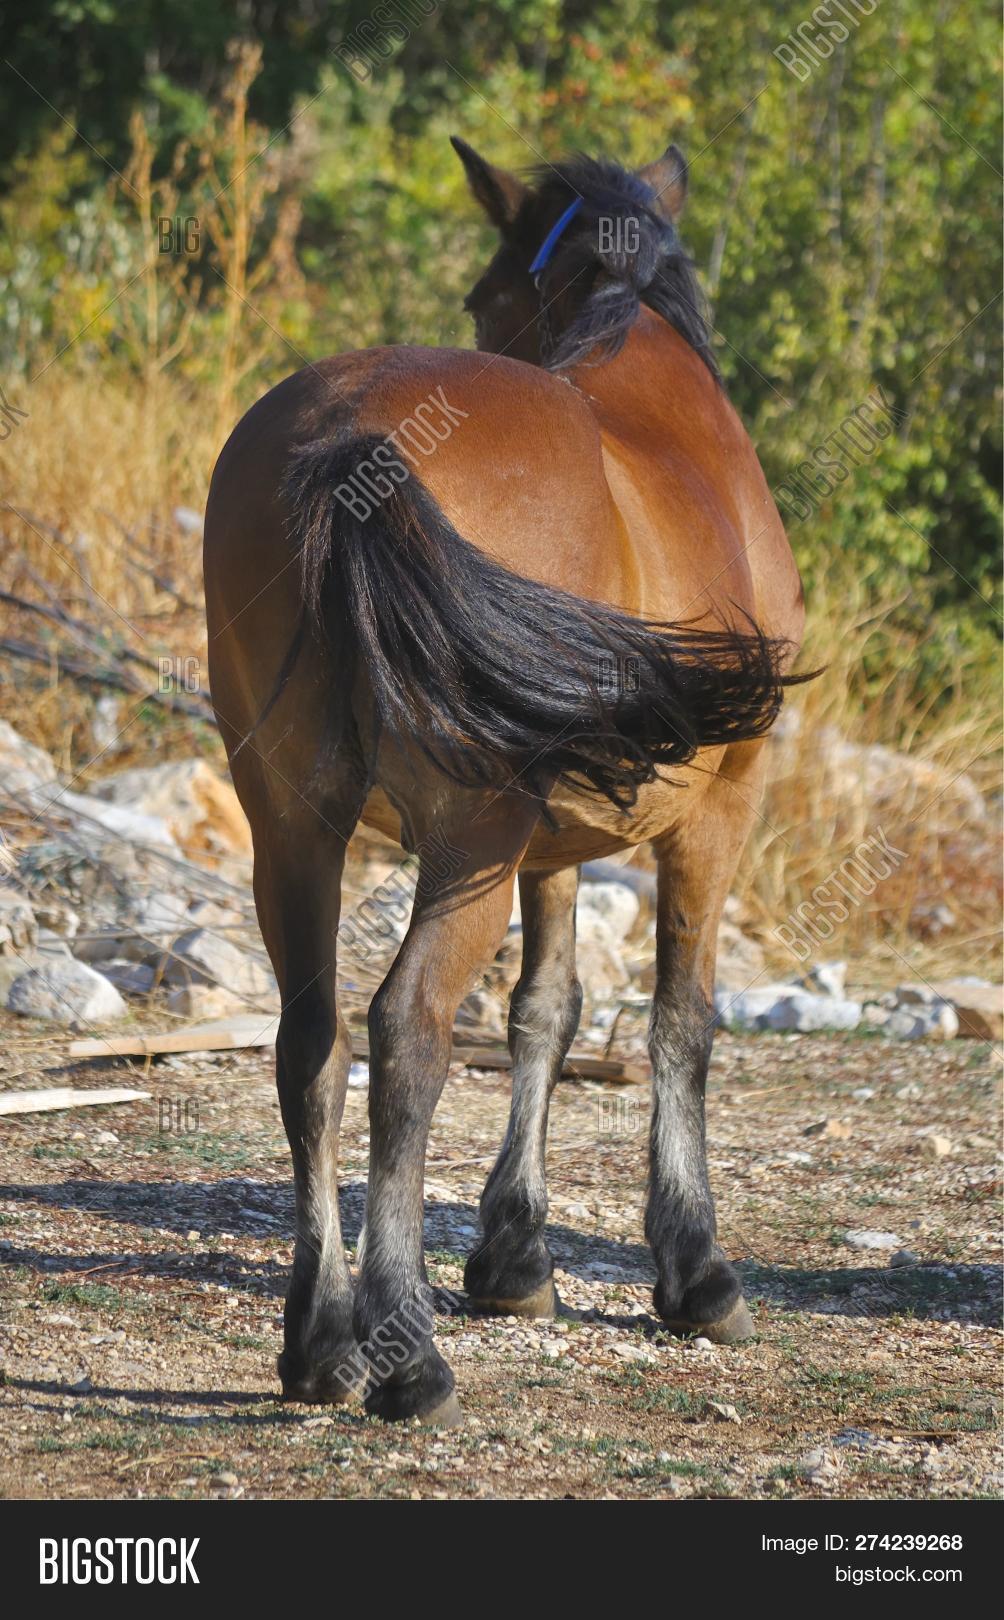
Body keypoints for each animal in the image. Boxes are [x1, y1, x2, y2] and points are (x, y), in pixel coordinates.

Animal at [204, 136, 806, 1426]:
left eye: (484, 297)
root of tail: (355, 442)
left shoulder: (555, 837)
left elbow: (546, 1010)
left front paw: (515, 1254)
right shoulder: (715, 812)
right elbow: (680, 1018)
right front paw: (694, 1269)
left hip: (294, 827)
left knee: (311, 1042)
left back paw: (318, 1344)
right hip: (466, 837)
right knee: (406, 1034)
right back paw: (403, 1353)